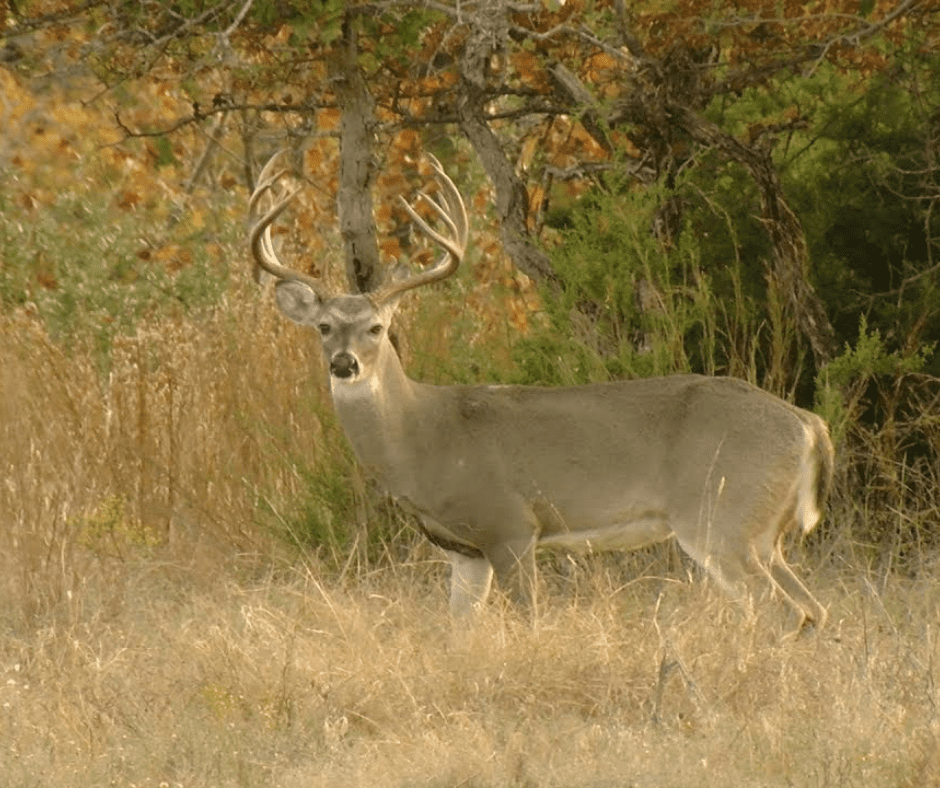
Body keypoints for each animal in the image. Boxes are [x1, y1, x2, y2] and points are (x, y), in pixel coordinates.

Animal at [249, 151, 833, 632]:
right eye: (324, 327)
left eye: (376, 327)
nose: (344, 364)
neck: (423, 437)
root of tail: (809, 425)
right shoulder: (464, 550)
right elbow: (457, 634)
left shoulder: (509, 524)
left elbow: (529, 621)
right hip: (763, 531)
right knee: (813, 609)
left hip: (722, 514)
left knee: (784, 611)